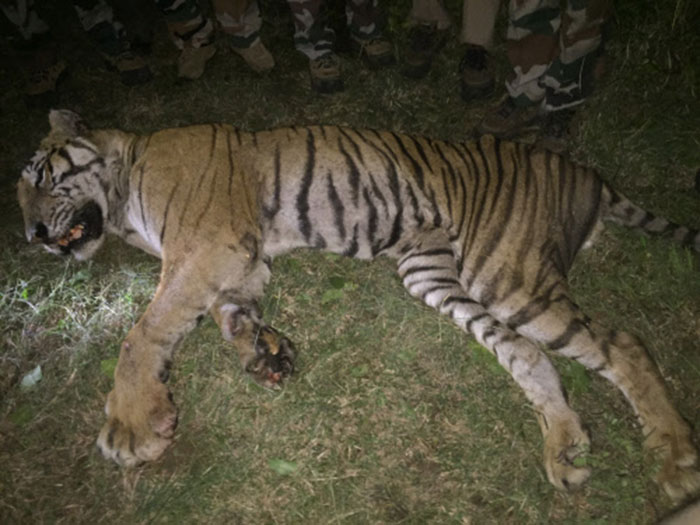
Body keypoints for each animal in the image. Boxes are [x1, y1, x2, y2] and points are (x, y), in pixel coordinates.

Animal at [17, 109, 700, 501]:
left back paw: (674, 462)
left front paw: (131, 426)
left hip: (511, 279)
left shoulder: (207, 247)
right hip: (433, 275)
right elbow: (227, 312)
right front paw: (266, 353)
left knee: (624, 345)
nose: (31, 235)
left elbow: (145, 331)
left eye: (43, 181)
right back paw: (564, 450)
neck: (123, 188)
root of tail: (588, 173)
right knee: (529, 354)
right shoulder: (239, 260)